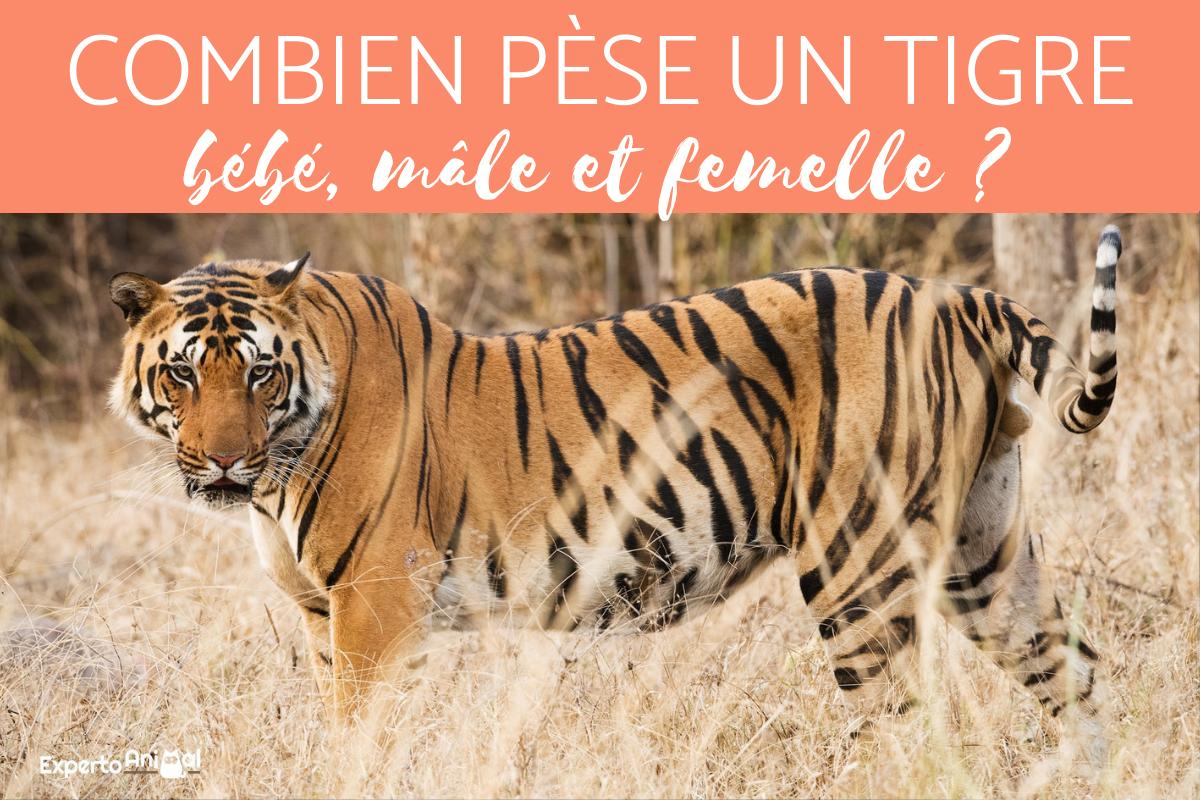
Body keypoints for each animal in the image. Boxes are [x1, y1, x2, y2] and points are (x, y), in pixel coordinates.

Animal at [108, 224, 1122, 752]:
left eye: (259, 373)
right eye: (184, 375)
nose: (224, 463)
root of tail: (956, 296)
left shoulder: (374, 606)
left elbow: (360, 742)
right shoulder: (324, 613)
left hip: (857, 567)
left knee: (908, 731)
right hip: (985, 553)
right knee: (1077, 674)